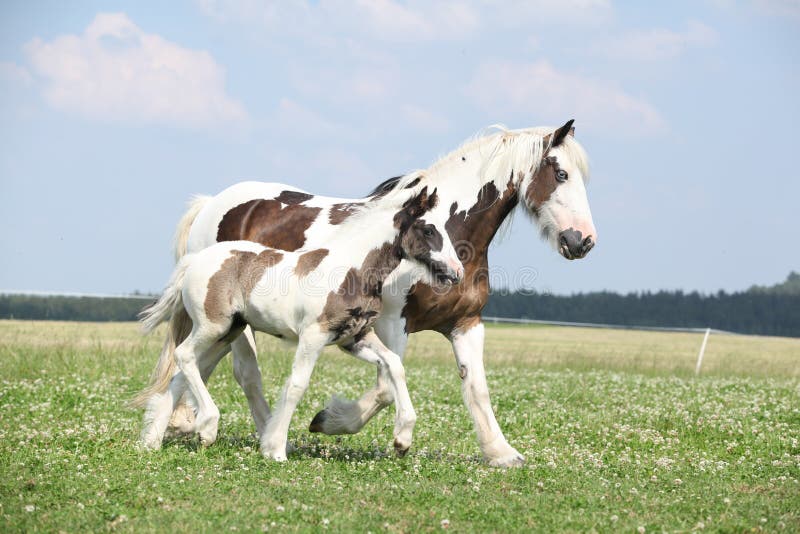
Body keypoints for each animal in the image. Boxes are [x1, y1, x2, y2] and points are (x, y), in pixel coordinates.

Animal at [134, 187, 463, 460]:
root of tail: (195, 260)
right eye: (429, 229)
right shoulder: (313, 336)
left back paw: (152, 441)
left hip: (228, 332)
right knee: (184, 355)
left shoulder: (353, 338)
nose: (457, 272)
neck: (349, 269)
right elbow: (296, 385)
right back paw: (206, 429)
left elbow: (394, 364)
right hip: (212, 327)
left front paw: (403, 439)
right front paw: (276, 449)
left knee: (182, 372)